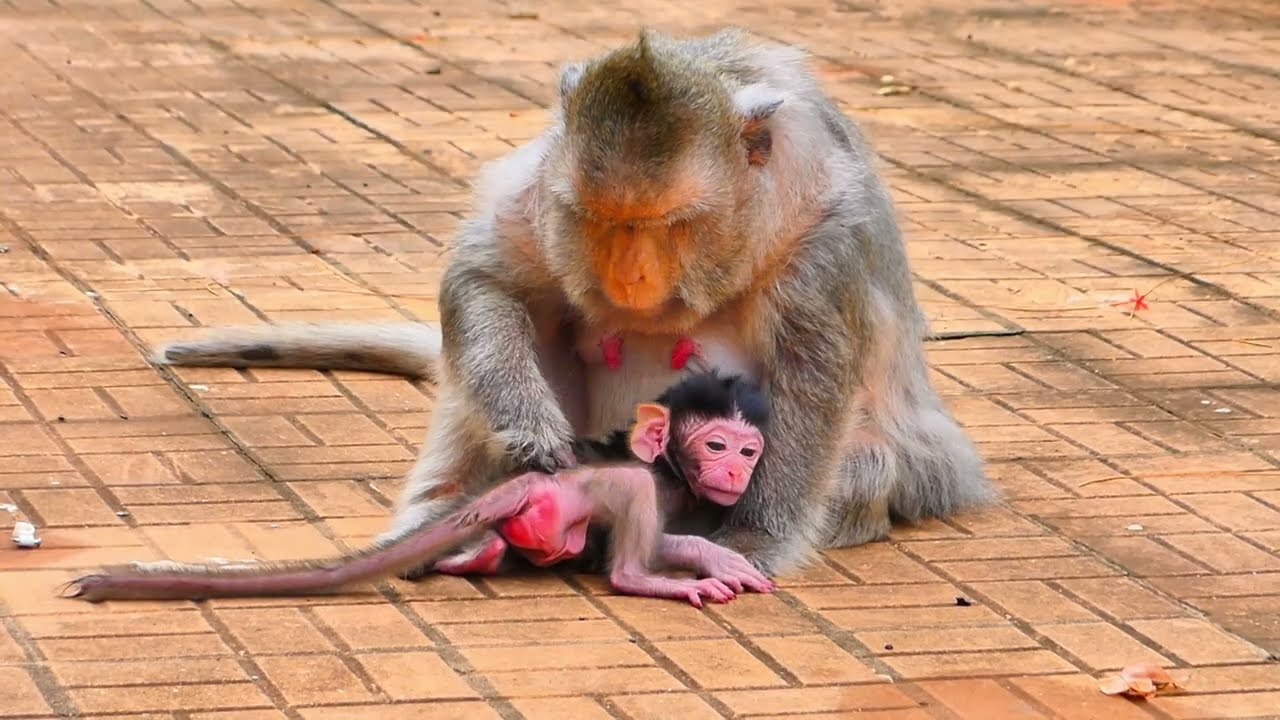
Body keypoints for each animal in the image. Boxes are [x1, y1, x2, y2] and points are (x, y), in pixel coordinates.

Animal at [63, 371, 775, 608]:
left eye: (748, 451)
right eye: (716, 446)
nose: (737, 473)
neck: (670, 471)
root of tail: (512, 484)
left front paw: (716, 553)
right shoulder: (651, 482)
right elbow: (644, 519)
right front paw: (691, 566)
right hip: (568, 495)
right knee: (621, 515)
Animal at [152, 28, 995, 578]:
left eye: (665, 225)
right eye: (603, 220)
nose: (629, 277)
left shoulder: (825, 245)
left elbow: (812, 381)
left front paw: (755, 536)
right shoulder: (543, 191)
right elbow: (486, 279)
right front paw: (525, 426)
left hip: (915, 474)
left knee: (865, 465)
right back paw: (455, 524)